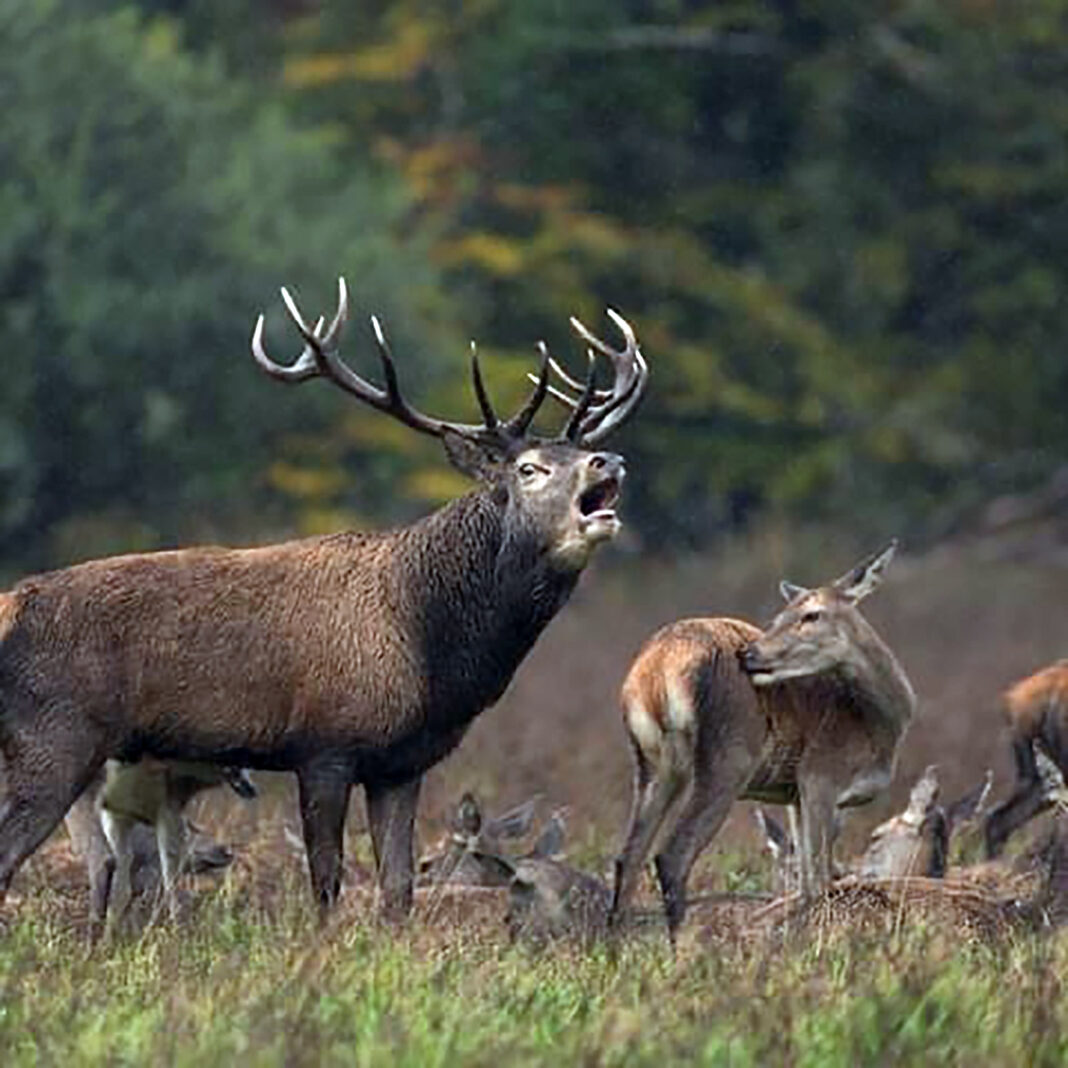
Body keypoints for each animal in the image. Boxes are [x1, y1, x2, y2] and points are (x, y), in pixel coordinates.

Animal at [611, 542, 915, 939]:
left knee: (627, 856)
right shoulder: (820, 776)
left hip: (652, 761)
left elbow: (804, 884)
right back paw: (682, 947)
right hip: (729, 756)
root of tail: (658, 667)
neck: (877, 726)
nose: (750, 654)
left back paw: (612, 946)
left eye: (811, 615)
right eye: (778, 617)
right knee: (672, 854)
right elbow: (821, 880)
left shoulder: (794, 795)